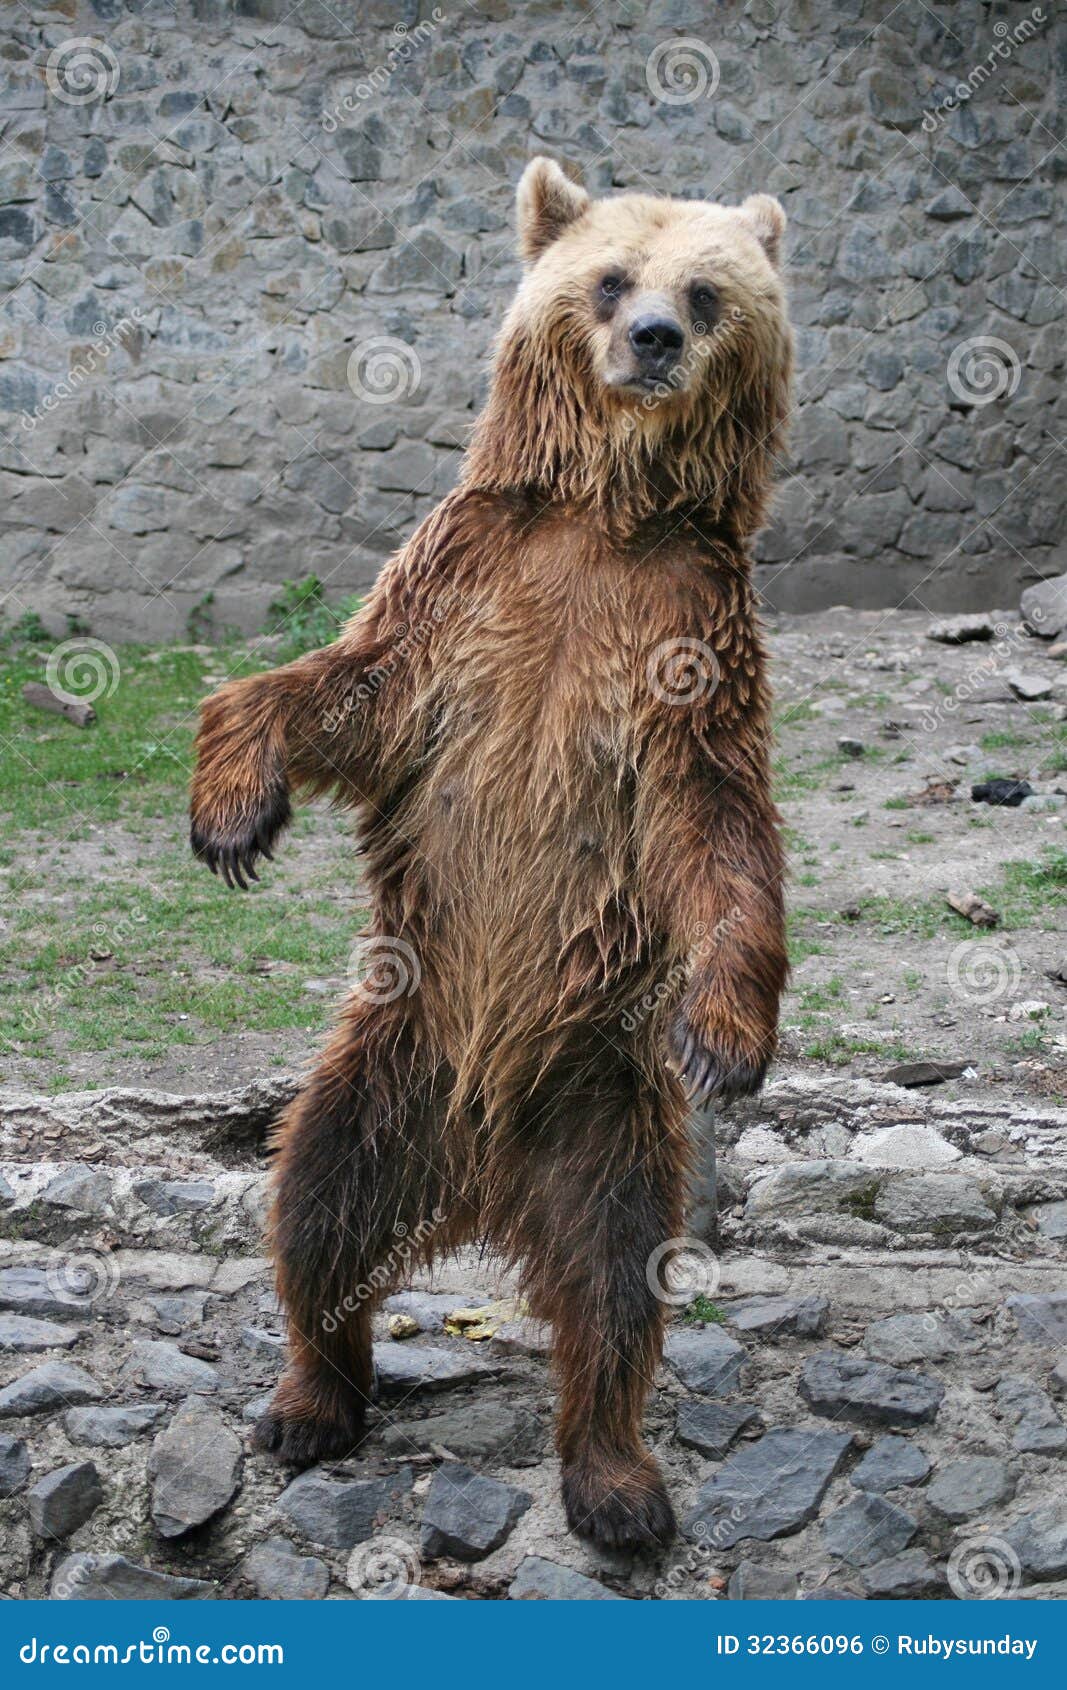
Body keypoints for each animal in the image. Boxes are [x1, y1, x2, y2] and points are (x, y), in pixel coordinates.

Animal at [189, 157, 792, 1553]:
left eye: (706, 290)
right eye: (611, 278)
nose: (653, 338)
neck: (604, 515)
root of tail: (478, 1169)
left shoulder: (687, 643)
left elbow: (719, 833)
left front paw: (726, 1033)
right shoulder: (458, 598)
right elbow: (333, 695)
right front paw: (232, 815)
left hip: (606, 1105)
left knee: (619, 1285)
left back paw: (615, 1479)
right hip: (384, 1059)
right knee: (313, 1212)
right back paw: (308, 1399)